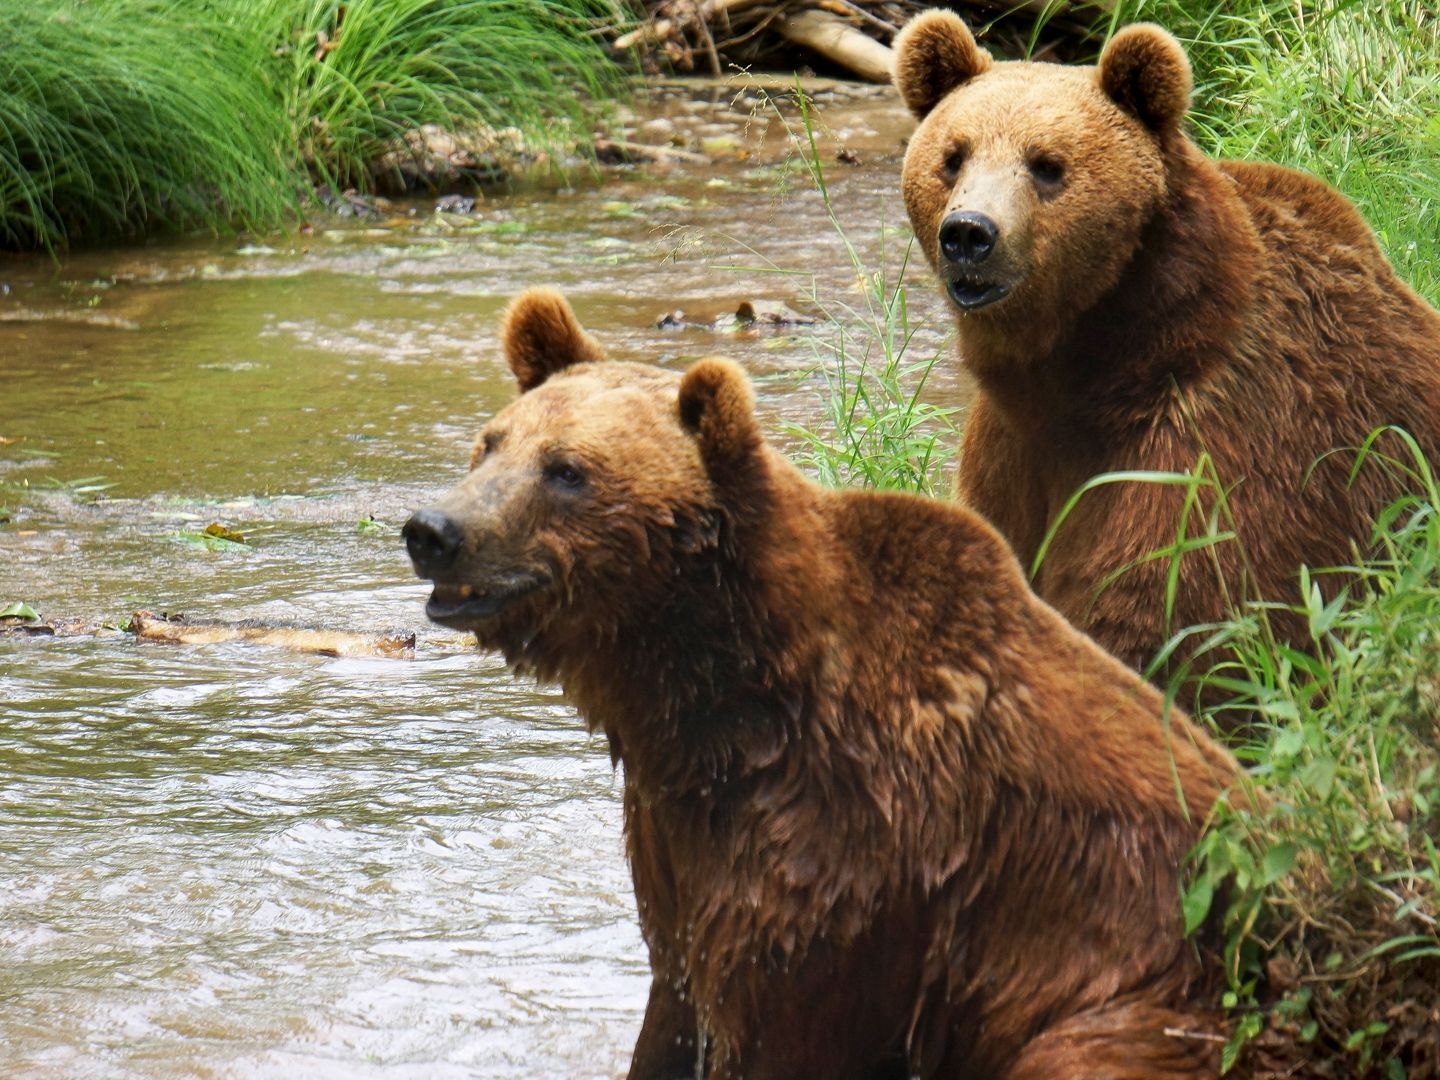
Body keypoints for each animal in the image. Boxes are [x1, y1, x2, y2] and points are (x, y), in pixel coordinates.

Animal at [403, 287, 1239, 1079]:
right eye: (490, 444)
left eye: (567, 470)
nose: (433, 529)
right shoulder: (680, 846)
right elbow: (672, 1004)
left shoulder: (849, 855)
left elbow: (785, 1015)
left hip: (1150, 996)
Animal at [893, 11, 1440, 688]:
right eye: (953, 156)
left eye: (1047, 165)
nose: (969, 233)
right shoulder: (1008, 455)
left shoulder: (1217, 441)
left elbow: (1170, 616)